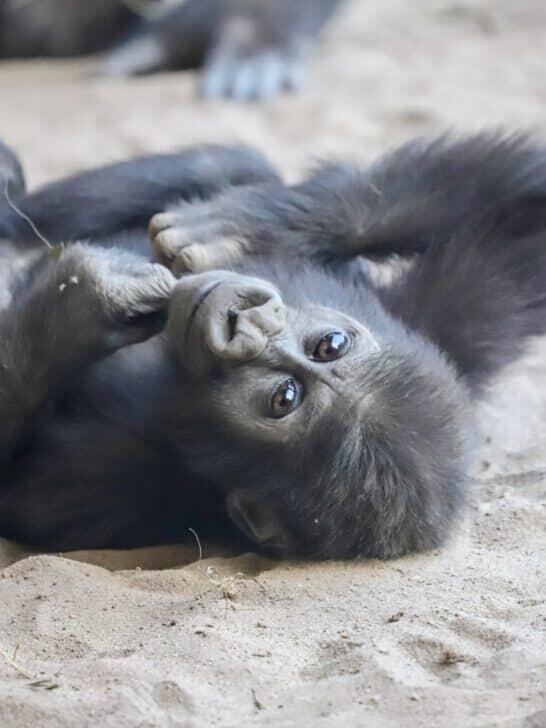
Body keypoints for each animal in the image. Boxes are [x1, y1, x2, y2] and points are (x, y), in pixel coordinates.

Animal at [0, 132, 545, 559]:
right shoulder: (436, 322)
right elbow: (522, 205)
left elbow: (17, 486)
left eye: (284, 399)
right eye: (331, 344)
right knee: (232, 163)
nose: (245, 326)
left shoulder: (107, 478)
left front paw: (74, 310)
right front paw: (250, 223)